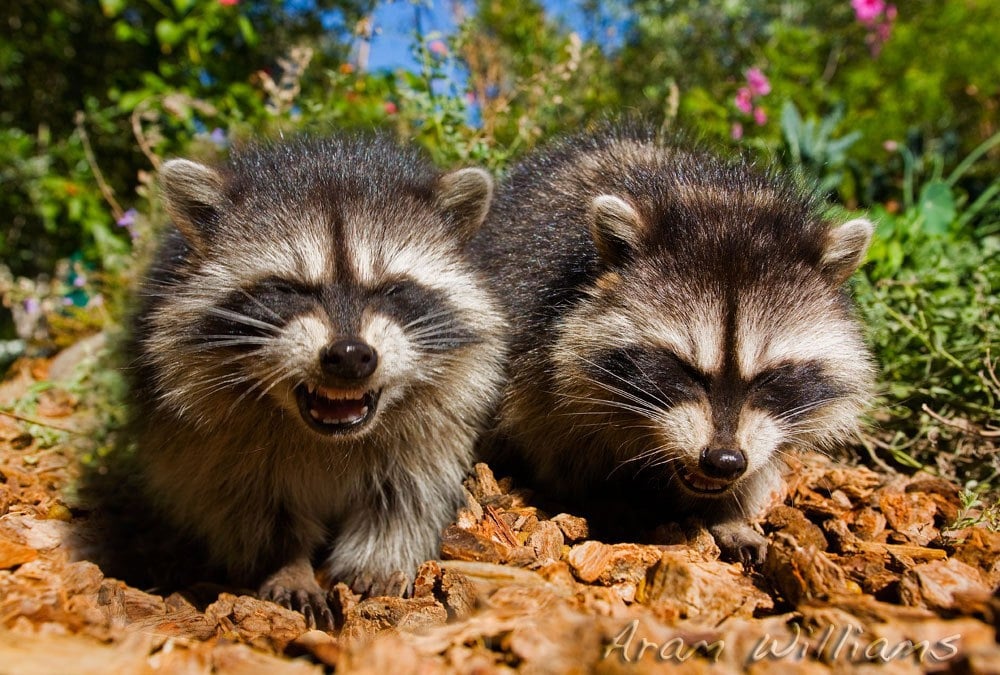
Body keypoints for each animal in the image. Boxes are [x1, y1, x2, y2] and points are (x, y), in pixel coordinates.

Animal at [128, 134, 505, 626]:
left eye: (392, 290)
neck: (332, 440)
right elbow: (247, 504)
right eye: (287, 289)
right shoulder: (210, 442)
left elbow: (410, 492)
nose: (349, 356)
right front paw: (287, 565)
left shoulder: (434, 427)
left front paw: (378, 557)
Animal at [471, 125, 875, 564]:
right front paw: (602, 500)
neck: (716, 194)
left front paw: (728, 514)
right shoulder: (537, 332)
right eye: (684, 368)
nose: (724, 461)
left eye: (770, 377)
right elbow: (551, 434)